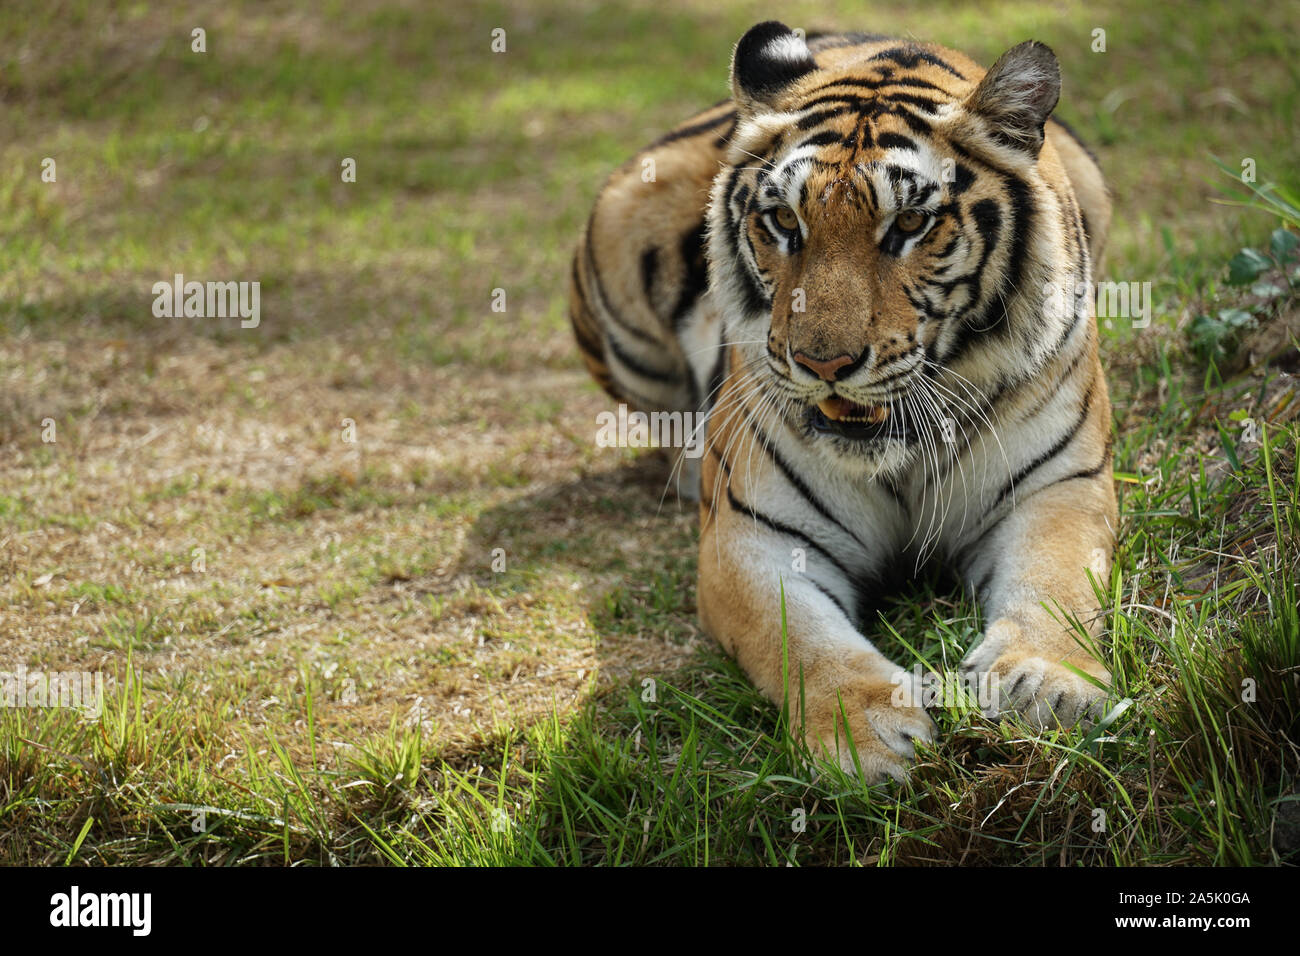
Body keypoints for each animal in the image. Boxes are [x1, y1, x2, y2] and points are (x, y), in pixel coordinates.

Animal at [569, 21, 1117, 783]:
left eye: (910, 224)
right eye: (782, 220)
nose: (822, 363)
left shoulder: (1061, 486)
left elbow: (1057, 583)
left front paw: (1046, 686)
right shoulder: (754, 536)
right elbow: (797, 639)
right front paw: (868, 733)